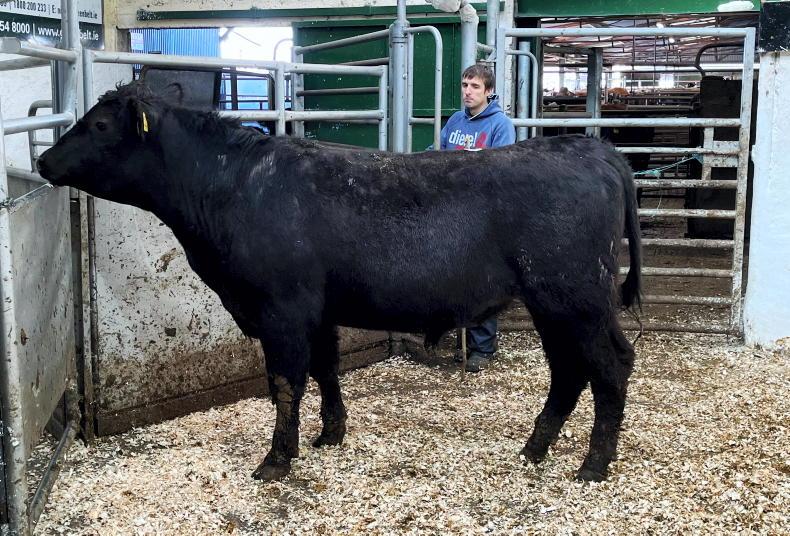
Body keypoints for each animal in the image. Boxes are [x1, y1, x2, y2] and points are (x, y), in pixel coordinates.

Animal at [37, 82, 642, 483]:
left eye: (98, 125)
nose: (42, 159)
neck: (231, 187)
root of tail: (592, 148)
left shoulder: (279, 309)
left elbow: (285, 383)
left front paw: (276, 460)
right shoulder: (317, 309)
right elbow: (326, 368)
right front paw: (330, 434)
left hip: (576, 299)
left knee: (609, 364)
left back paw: (592, 464)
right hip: (552, 304)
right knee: (568, 371)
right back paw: (534, 449)